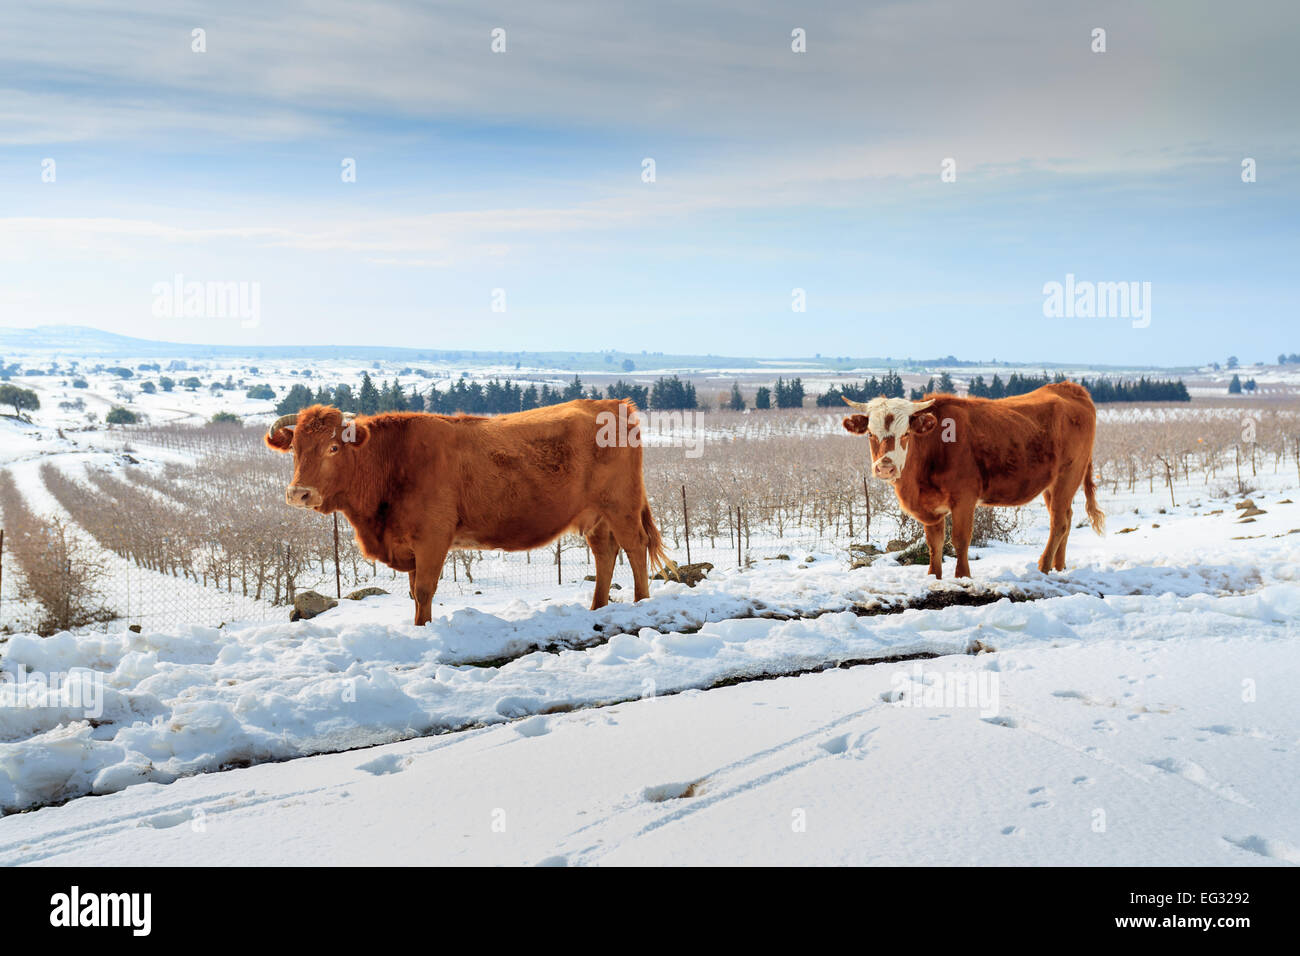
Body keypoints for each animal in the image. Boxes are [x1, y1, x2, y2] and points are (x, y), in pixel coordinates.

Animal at [265, 400, 667, 625]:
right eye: (296, 449)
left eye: (333, 447)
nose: (299, 493)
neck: (393, 461)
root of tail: (613, 403)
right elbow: (414, 593)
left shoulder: (432, 539)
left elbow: (424, 591)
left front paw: (422, 629)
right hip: (595, 516)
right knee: (606, 554)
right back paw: (597, 608)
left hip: (621, 506)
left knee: (635, 548)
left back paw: (641, 603)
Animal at [841, 382, 1104, 579]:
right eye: (870, 434)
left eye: (906, 434)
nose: (885, 467)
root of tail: (1069, 387)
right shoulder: (931, 506)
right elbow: (934, 543)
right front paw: (933, 576)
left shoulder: (964, 498)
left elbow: (960, 539)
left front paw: (962, 576)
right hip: (1051, 484)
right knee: (1066, 519)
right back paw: (1060, 567)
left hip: (1068, 476)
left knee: (1058, 522)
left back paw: (1044, 566)